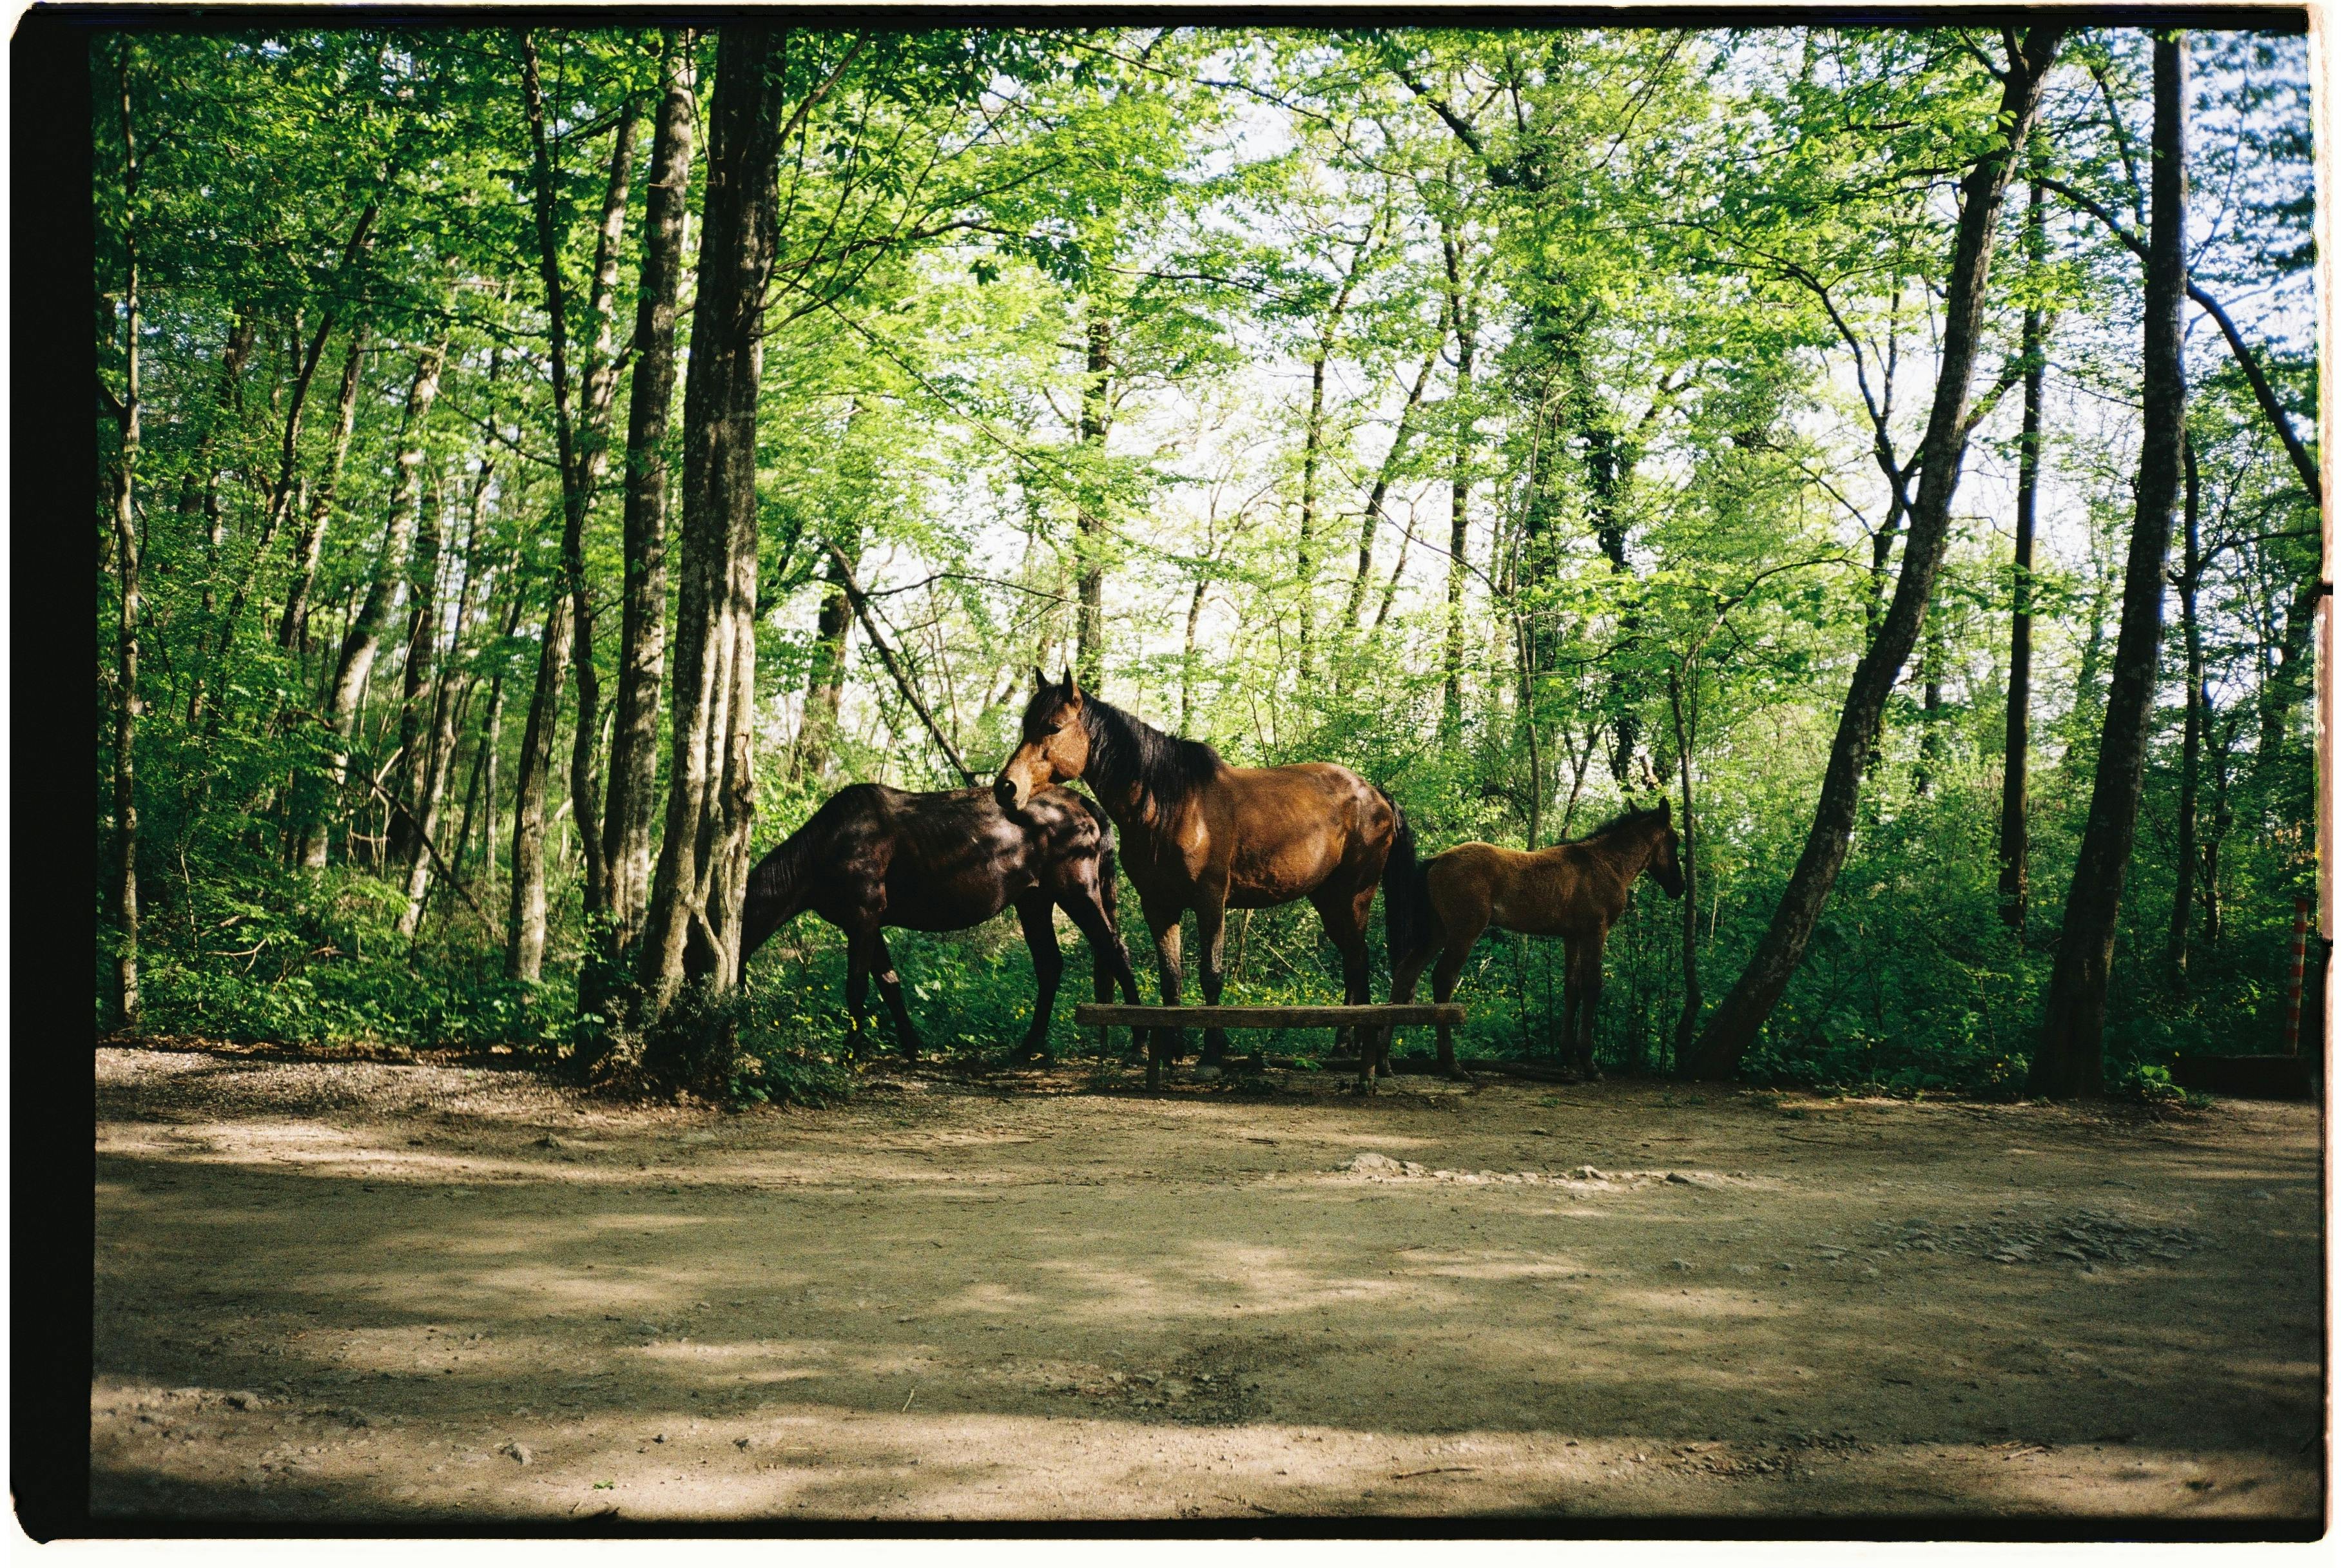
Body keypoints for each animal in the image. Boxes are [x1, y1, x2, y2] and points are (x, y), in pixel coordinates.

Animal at [736, 781, 1142, 1061]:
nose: (735, 1014)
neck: (829, 844)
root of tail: (1082, 801)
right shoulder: (869, 926)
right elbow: (890, 984)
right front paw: (912, 1047)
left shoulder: (863, 919)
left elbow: (857, 988)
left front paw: (850, 1053)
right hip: (1034, 902)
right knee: (1050, 966)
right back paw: (1028, 1048)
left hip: (1078, 894)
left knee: (1115, 951)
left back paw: (1138, 1045)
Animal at [995, 667, 1424, 1090]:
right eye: (1026, 725)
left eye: (1053, 727)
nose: (1006, 788)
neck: (1173, 807)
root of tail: (1376, 795)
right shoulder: (1159, 906)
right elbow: (1172, 977)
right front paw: (1171, 1053)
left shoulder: (1210, 902)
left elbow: (1211, 976)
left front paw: (1211, 1058)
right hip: (1330, 902)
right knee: (1355, 963)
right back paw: (1345, 1047)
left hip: (1352, 899)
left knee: (1359, 963)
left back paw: (1365, 1056)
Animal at [1385, 801, 1684, 1080]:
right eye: (1676, 840)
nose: (1679, 888)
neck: (1605, 864)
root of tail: (1436, 859)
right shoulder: (1595, 932)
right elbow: (1592, 986)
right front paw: (1589, 1063)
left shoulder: (1572, 937)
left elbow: (1572, 987)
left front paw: (1568, 1056)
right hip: (1463, 932)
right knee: (1443, 978)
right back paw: (1452, 1065)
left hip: (1436, 933)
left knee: (1405, 973)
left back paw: (1384, 1061)